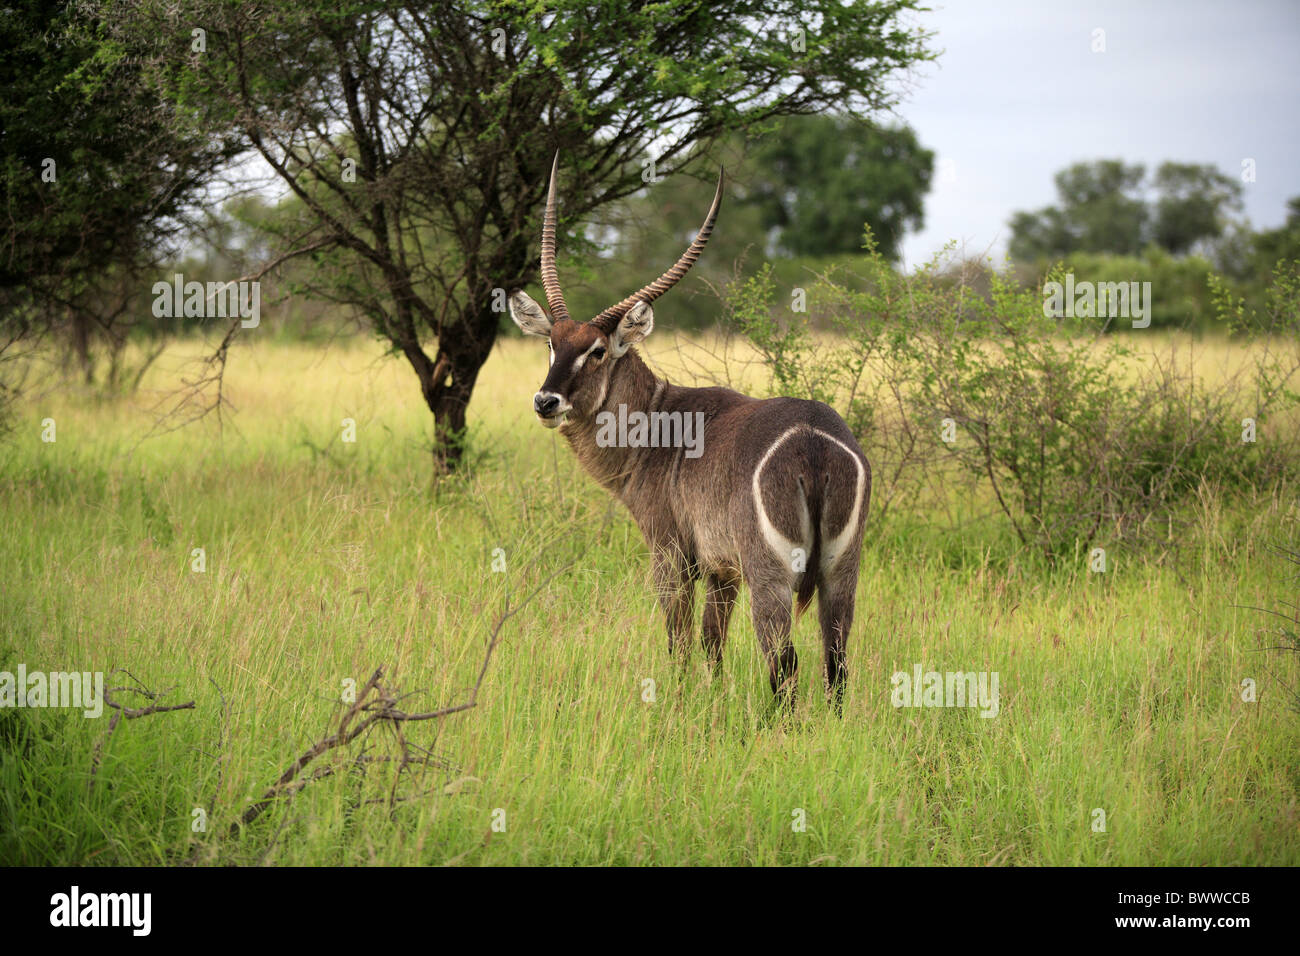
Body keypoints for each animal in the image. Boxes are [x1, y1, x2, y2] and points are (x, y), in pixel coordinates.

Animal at [509, 156, 870, 710]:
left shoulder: (671, 554)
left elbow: (678, 639)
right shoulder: (722, 570)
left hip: (771, 574)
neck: (656, 421)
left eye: (597, 350)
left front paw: (677, 704)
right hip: (840, 568)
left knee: (783, 662)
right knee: (836, 662)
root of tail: (813, 443)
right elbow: (711, 642)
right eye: (552, 343)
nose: (546, 402)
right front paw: (711, 703)